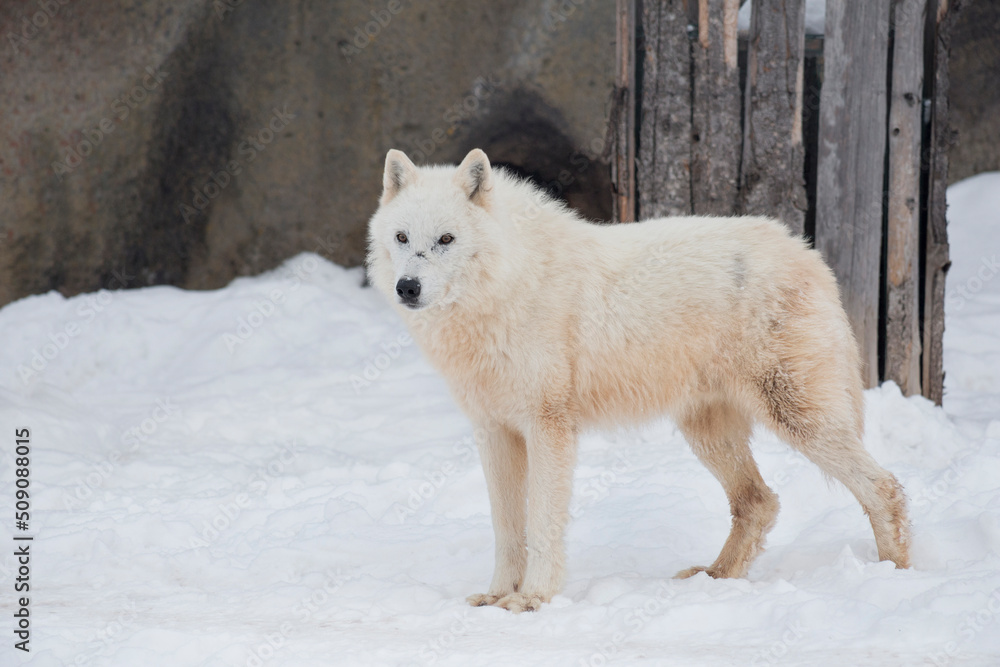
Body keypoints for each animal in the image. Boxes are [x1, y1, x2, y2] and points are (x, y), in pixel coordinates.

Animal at [366, 148, 911, 613]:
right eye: (402, 238)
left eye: (446, 240)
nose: (408, 287)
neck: (508, 285)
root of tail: (806, 252)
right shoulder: (494, 432)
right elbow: (506, 529)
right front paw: (497, 596)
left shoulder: (548, 429)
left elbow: (540, 525)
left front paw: (533, 599)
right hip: (708, 434)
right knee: (759, 502)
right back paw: (715, 577)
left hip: (796, 420)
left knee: (884, 487)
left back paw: (896, 576)